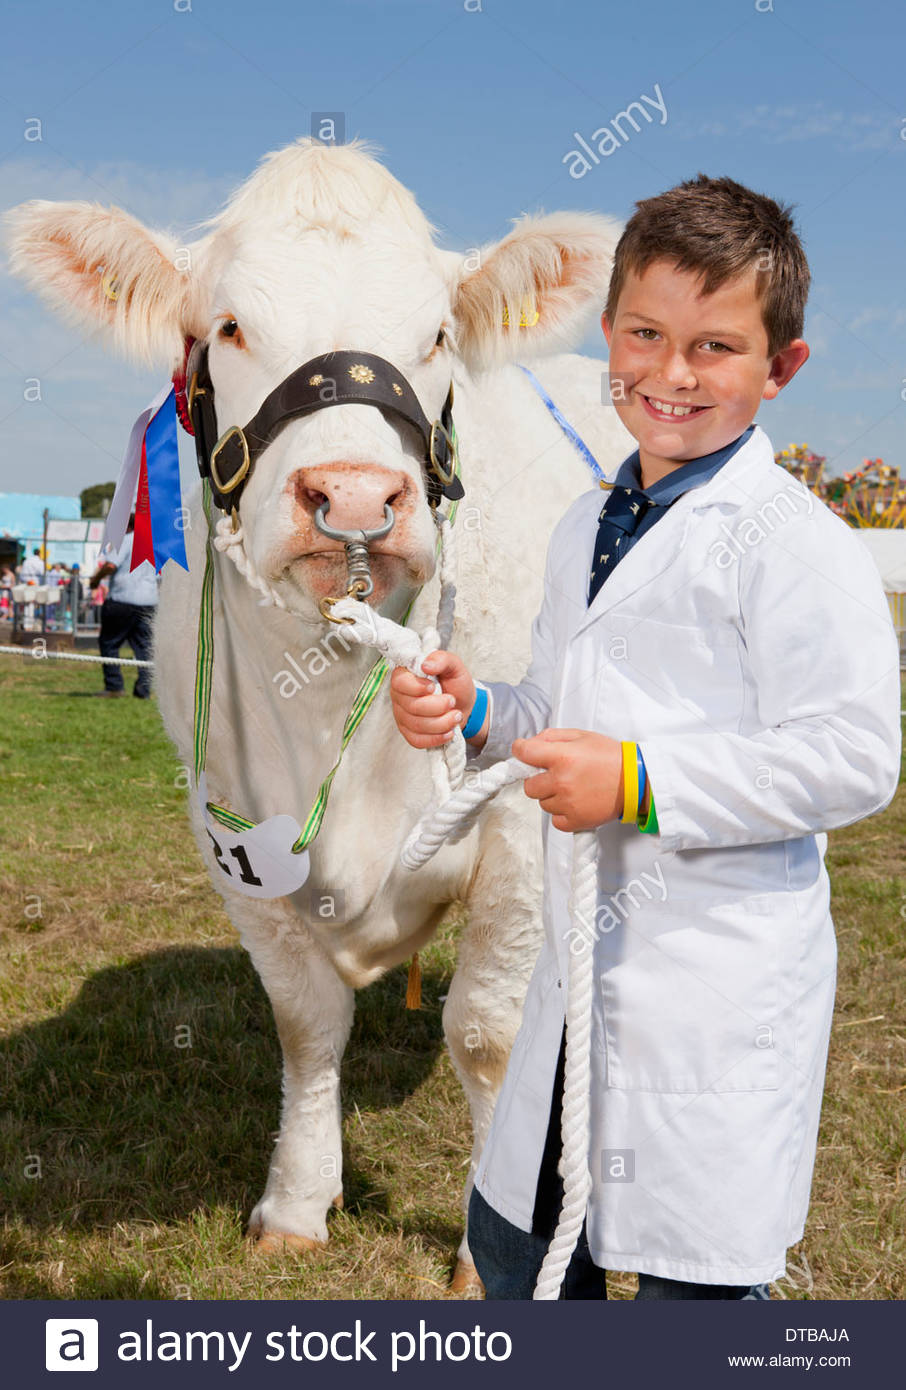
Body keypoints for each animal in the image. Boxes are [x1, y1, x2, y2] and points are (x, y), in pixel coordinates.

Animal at [4, 138, 631, 1292]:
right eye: (229, 327)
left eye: (437, 334)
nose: (354, 498)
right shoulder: (226, 827)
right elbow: (305, 1020)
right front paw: (296, 1204)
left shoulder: (524, 817)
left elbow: (486, 1031)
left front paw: (487, 1246)